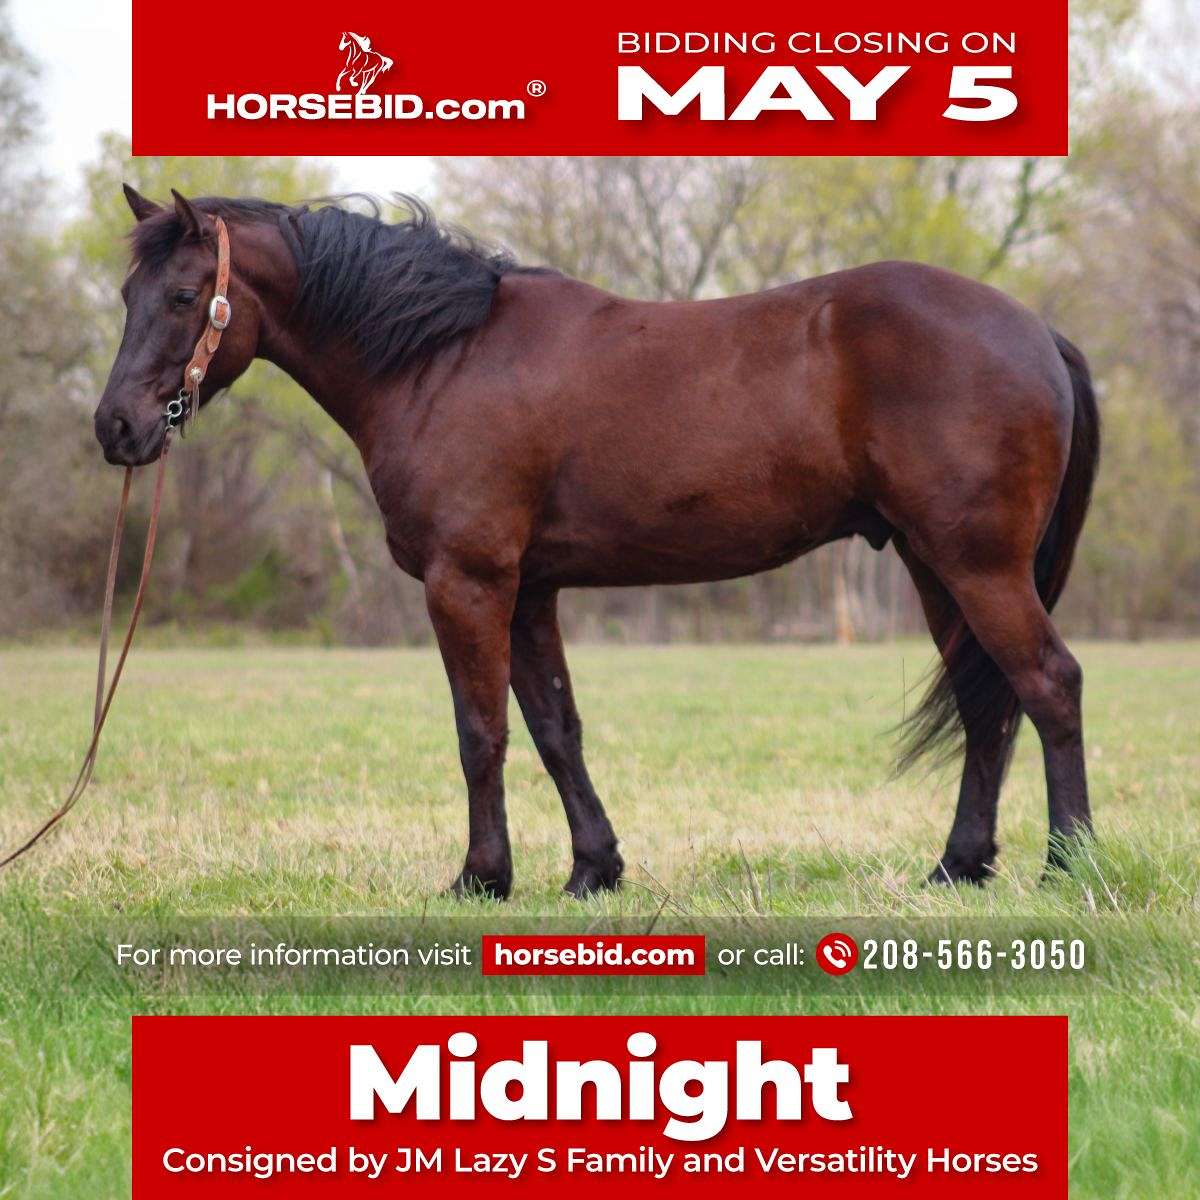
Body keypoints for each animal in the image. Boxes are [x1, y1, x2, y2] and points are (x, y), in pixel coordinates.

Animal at [95, 187, 1100, 899]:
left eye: (183, 295)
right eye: (126, 295)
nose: (116, 429)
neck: (441, 359)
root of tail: (1037, 330)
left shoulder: (468, 582)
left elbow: (481, 731)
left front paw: (482, 877)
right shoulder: (530, 590)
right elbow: (555, 728)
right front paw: (592, 868)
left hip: (977, 566)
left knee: (1048, 684)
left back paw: (1069, 865)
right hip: (937, 568)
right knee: (987, 703)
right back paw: (959, 866)